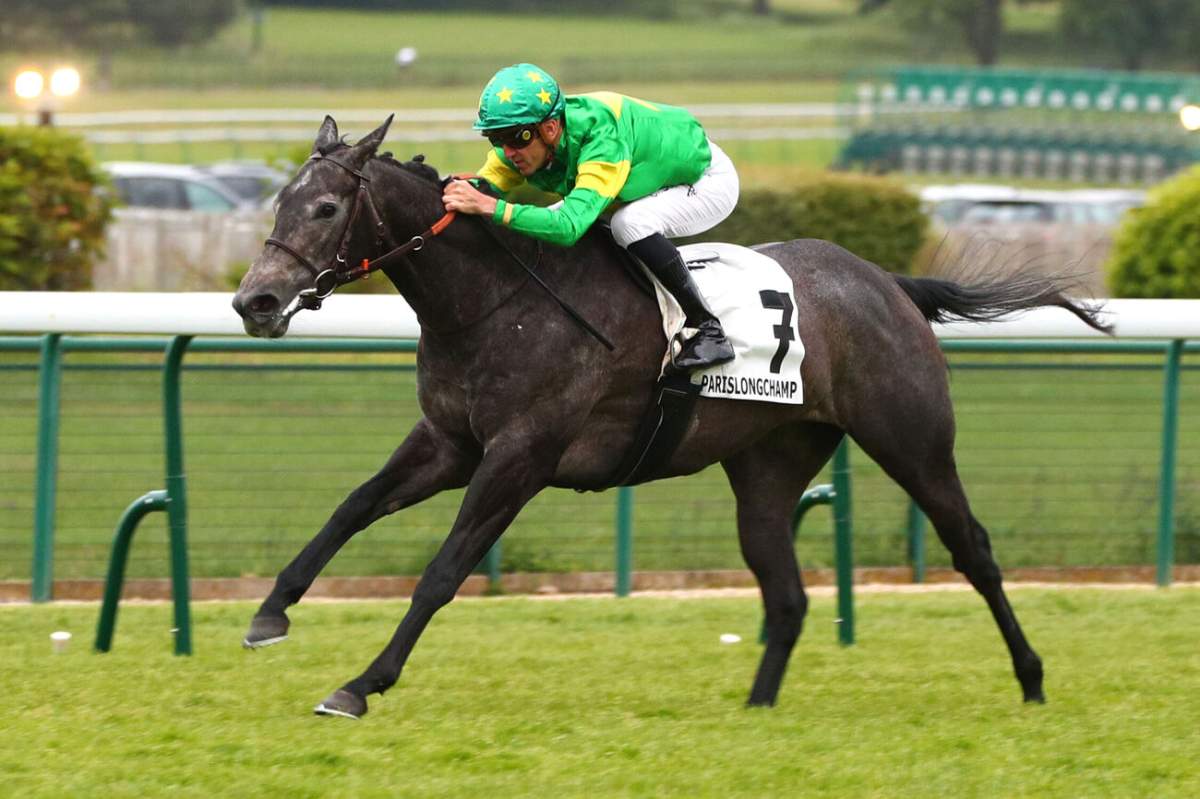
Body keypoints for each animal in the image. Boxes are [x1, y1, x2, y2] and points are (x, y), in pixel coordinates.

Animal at [232, 116, 1110, 719]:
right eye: (278, 202)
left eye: (325, 207)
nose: (255, 301)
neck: (494, 302)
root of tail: (889, 282)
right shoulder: (449, 441)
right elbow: (352, 507)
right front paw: (272, 611)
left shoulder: (521, 455)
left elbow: (443, 571)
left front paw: (360, 683)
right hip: (768, 464)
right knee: (786, 592)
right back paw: (757, 707)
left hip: (913, 440)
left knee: (974, 549)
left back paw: (1032, 678)